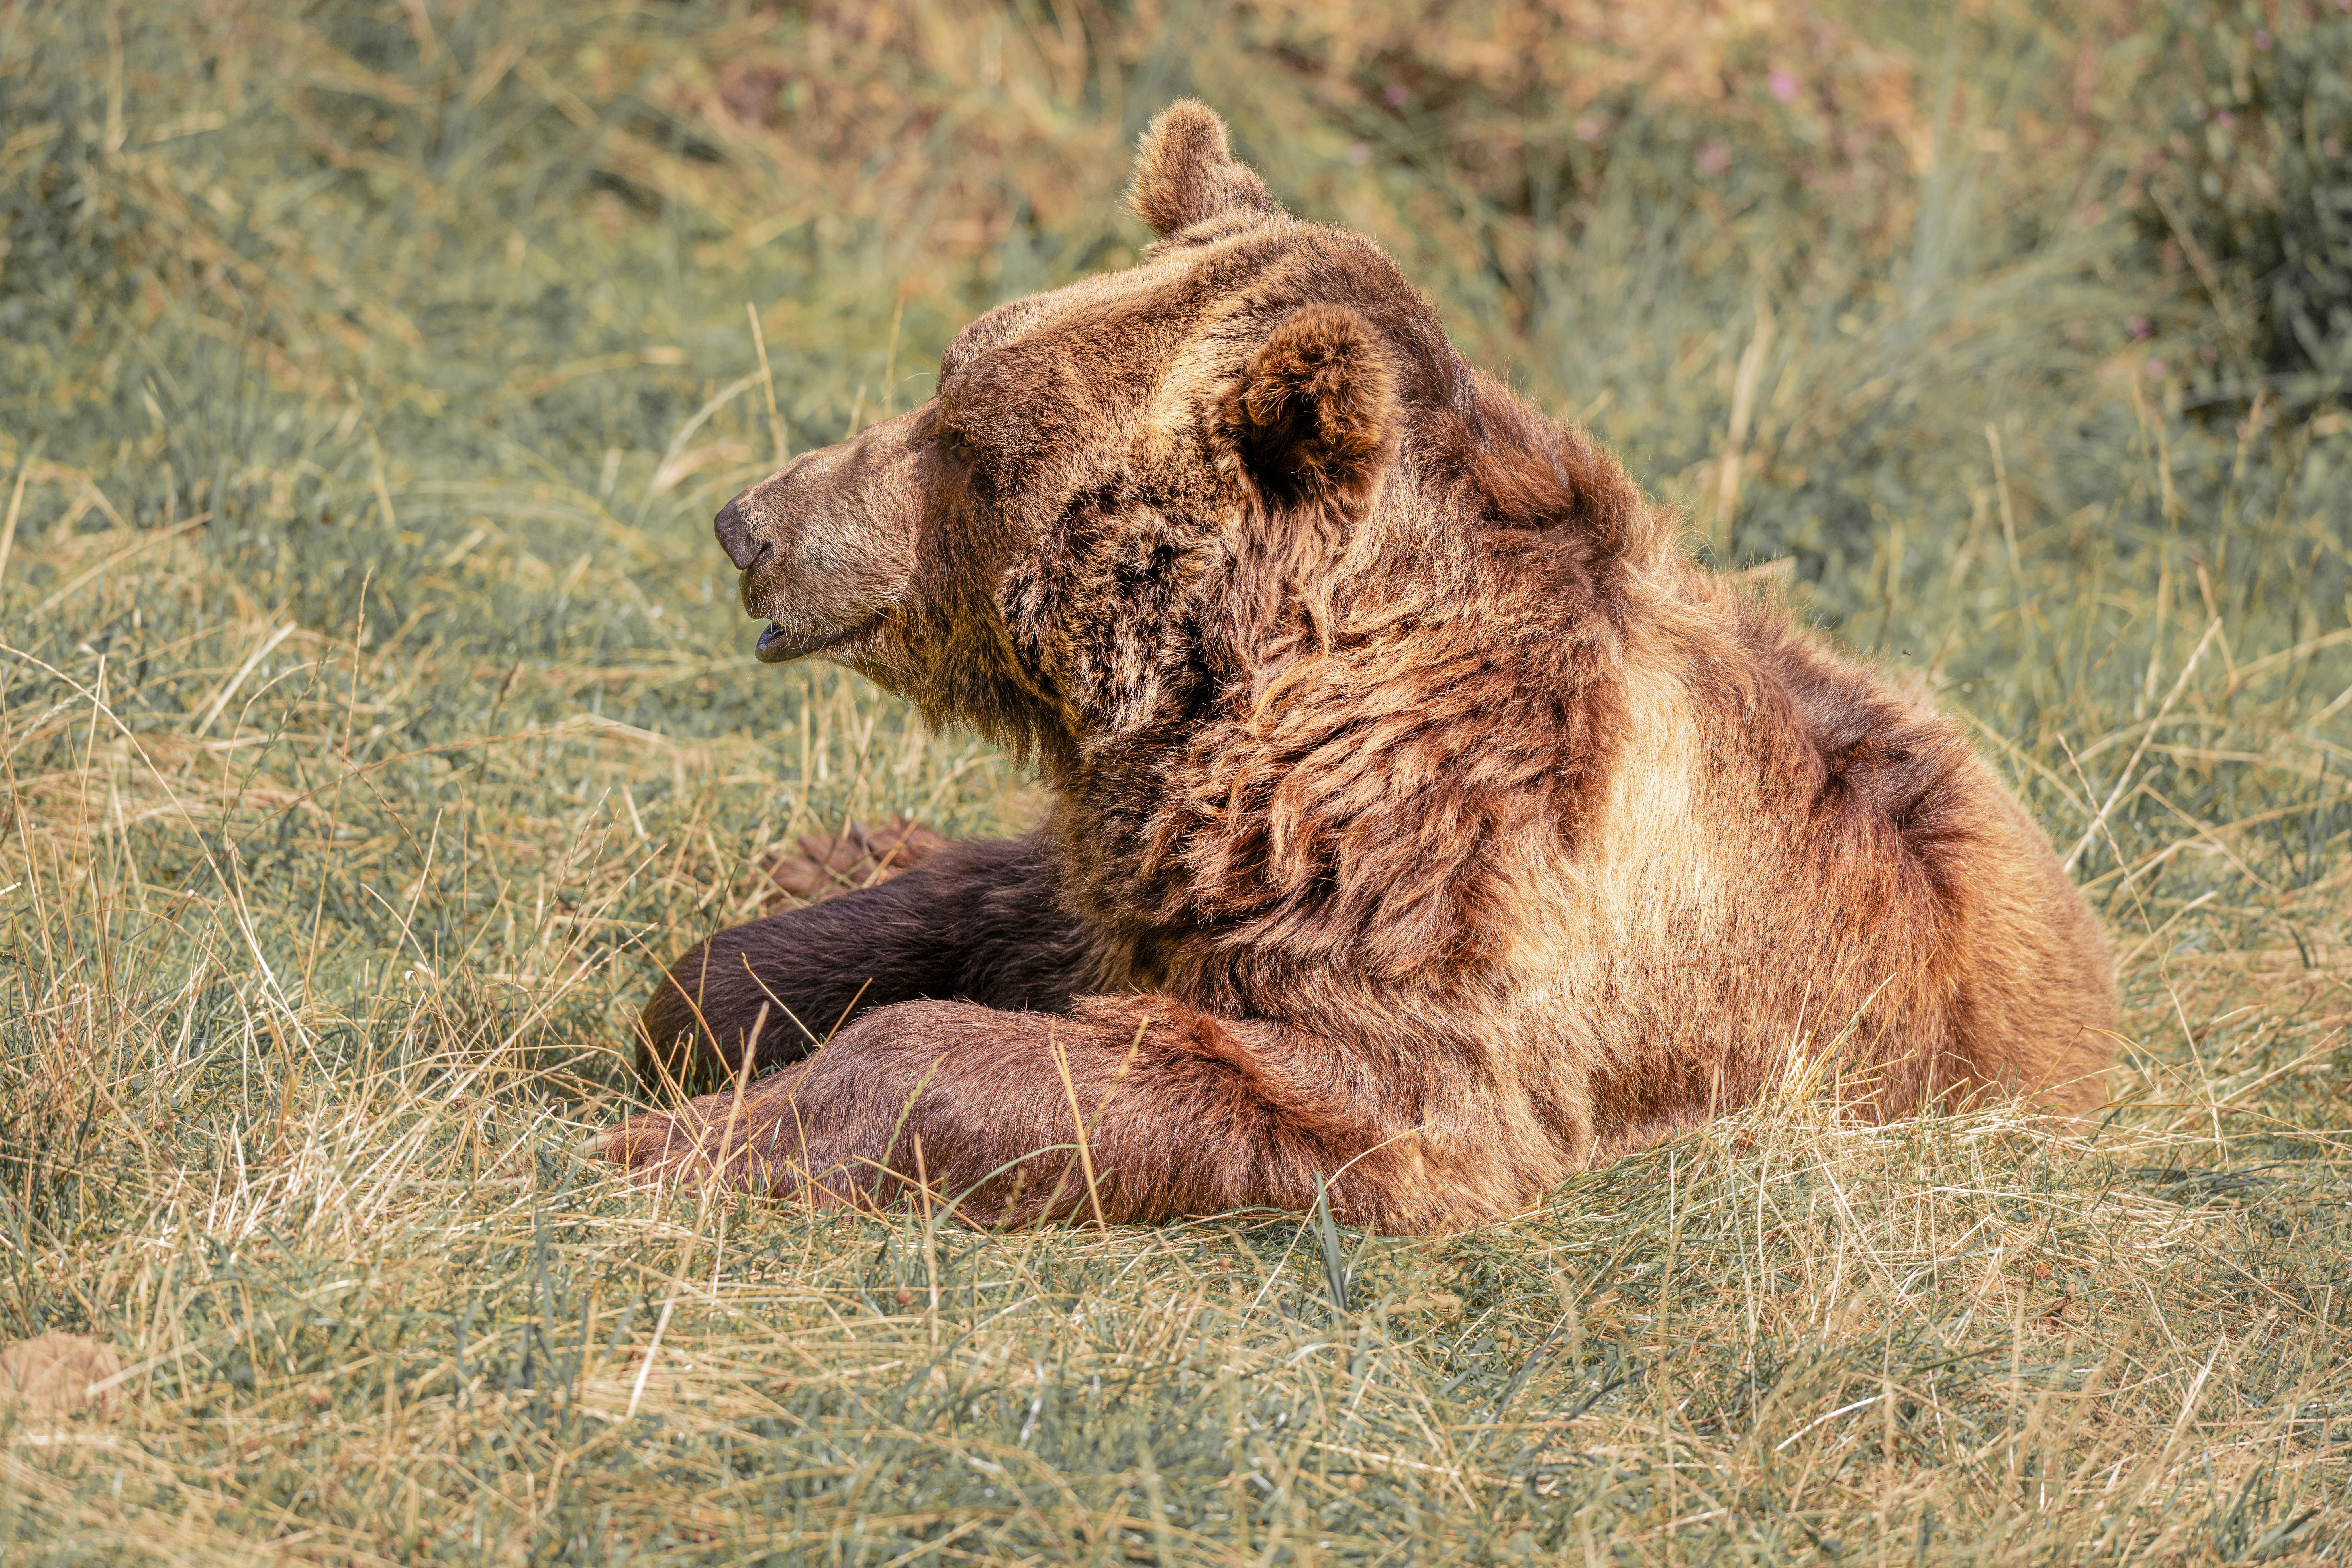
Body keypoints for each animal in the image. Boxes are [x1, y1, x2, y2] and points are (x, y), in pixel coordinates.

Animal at [596, 102, 2116, 1235]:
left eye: (966, 441)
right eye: (948, 378)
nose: (752, 523)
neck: (1270, 700)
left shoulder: (1437, 926)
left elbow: (1258, 1078)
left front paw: (682, 1139)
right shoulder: (1176, 846)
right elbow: (933, 915)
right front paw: (721, 1003)